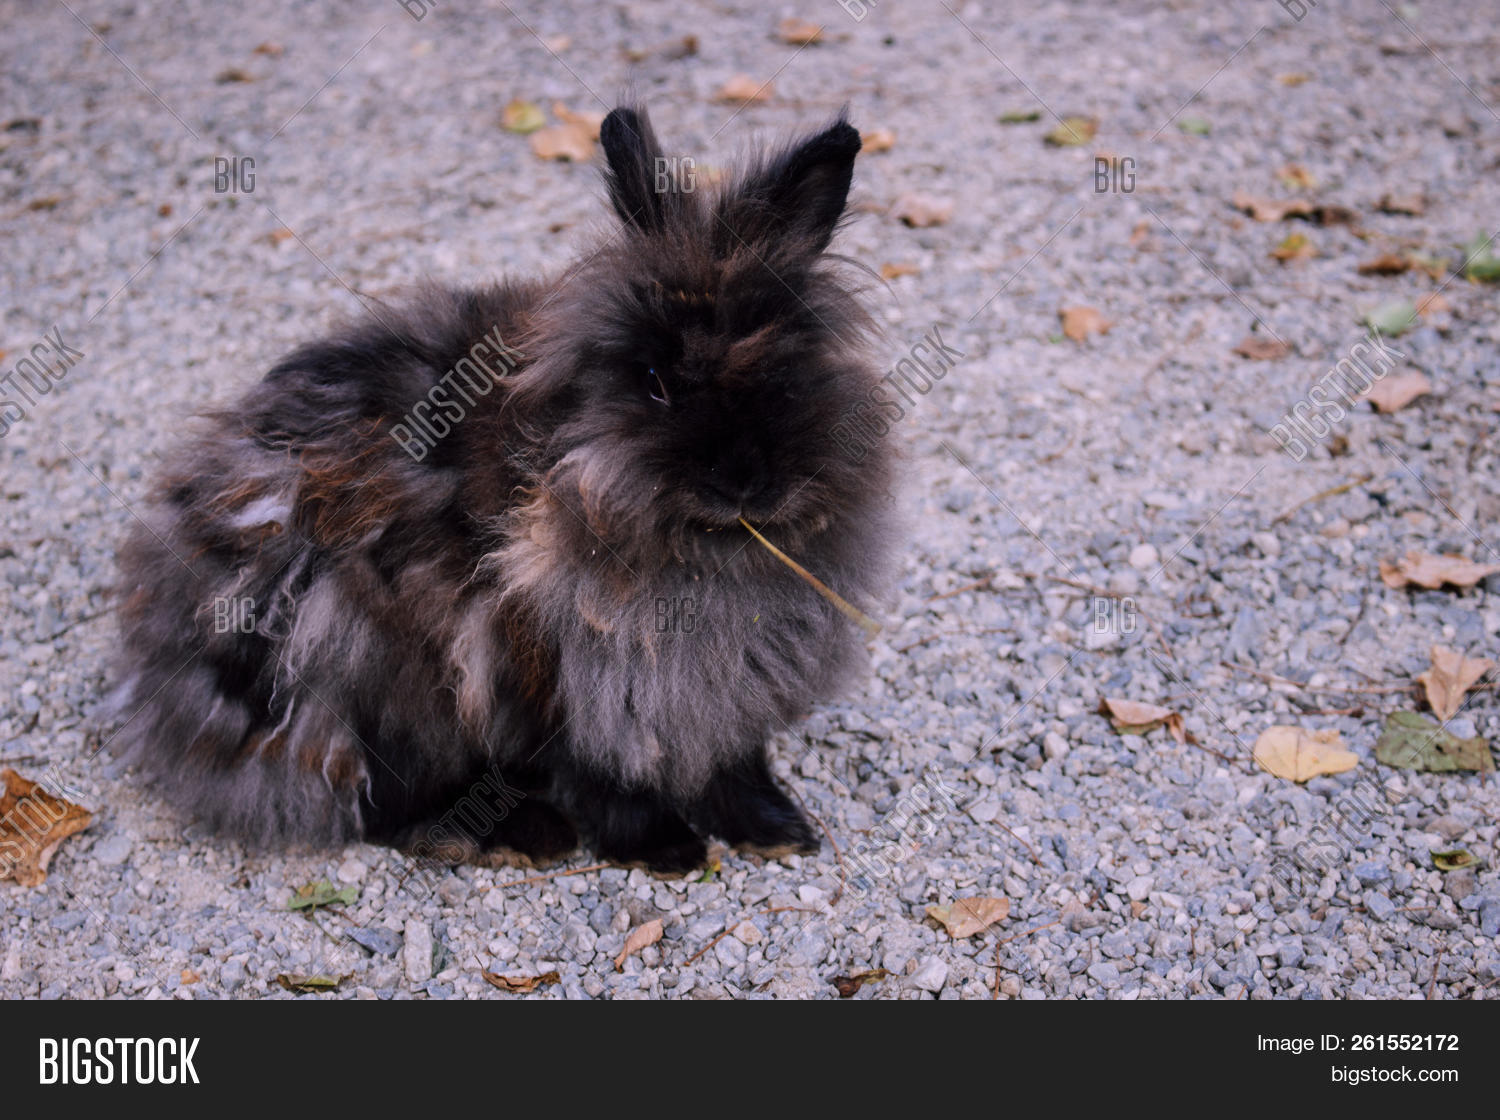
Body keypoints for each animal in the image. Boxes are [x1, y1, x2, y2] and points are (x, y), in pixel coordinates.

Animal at [110, 104, 896, 873]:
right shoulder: (552, 665)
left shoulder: (728, 680)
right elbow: (598, 766)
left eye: (788, 368)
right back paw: (518, 835)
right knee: (381, 801)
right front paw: (663, 848)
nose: (745, 483)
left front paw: (776, 830)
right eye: (653, 382)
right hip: (354, 656)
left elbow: (734, 757)